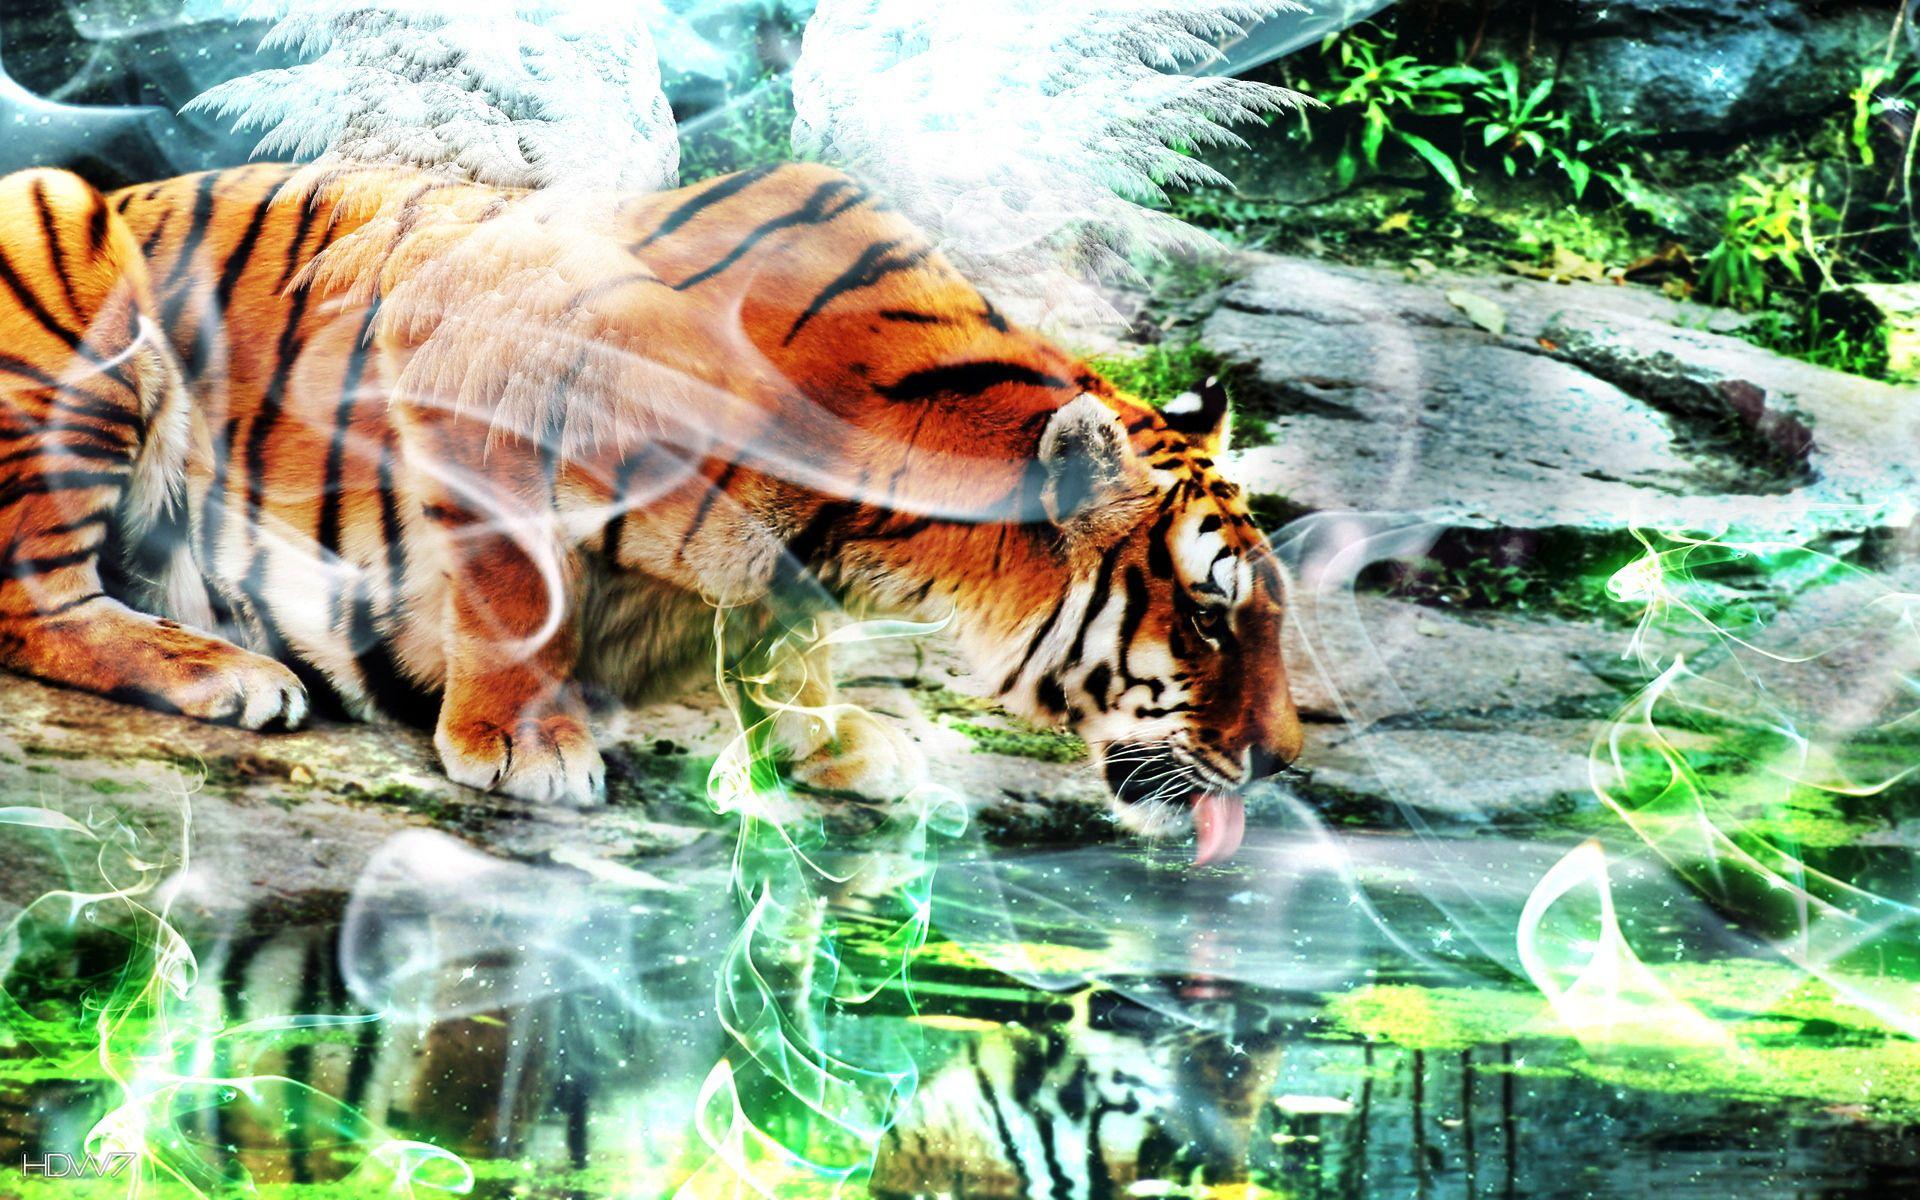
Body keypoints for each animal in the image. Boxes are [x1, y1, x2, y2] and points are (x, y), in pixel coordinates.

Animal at [0, 160, 1303, 859]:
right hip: (58, 221)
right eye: (1209, 618)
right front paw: (524, 744)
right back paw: (227, 669)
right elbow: (515, 581)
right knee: (36, 604)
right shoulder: (466, 351)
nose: (1283, 761)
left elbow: (788, 644)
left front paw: (833, 741)